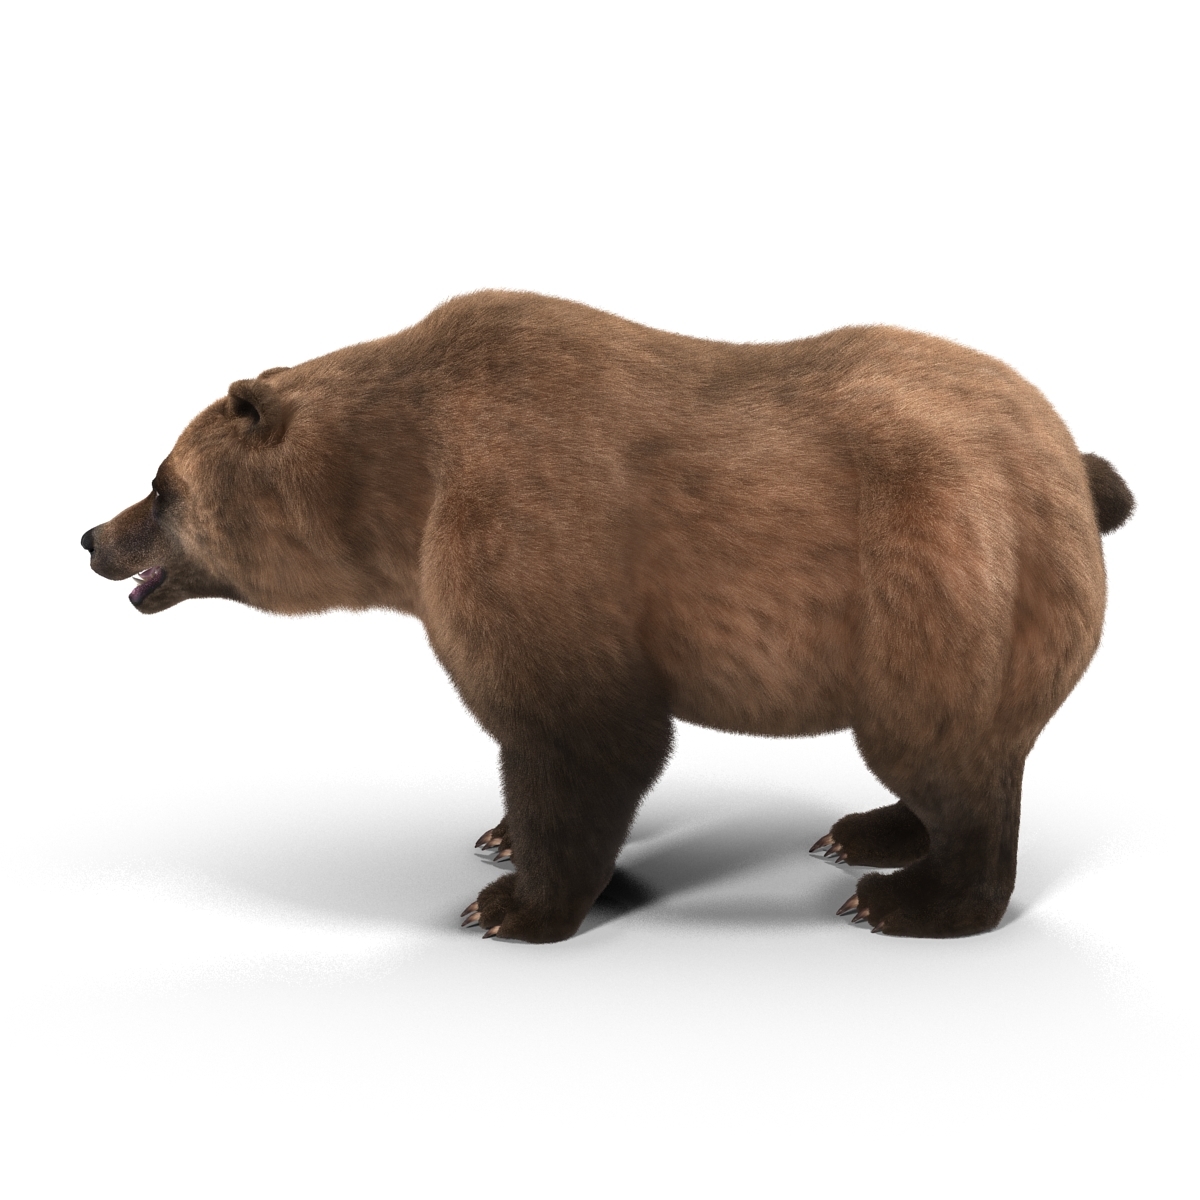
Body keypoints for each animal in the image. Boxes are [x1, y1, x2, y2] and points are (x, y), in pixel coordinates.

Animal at [81, 290, 1134, 941]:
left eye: (161, 485)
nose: (94, 537)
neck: (395, 485)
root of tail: (1070, 458)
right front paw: (502, 836)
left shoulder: (523, 527)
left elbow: (583, 732)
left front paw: (509, 904)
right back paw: (869, 831)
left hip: (947, 573)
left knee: (945, 744)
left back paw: (902, 898)